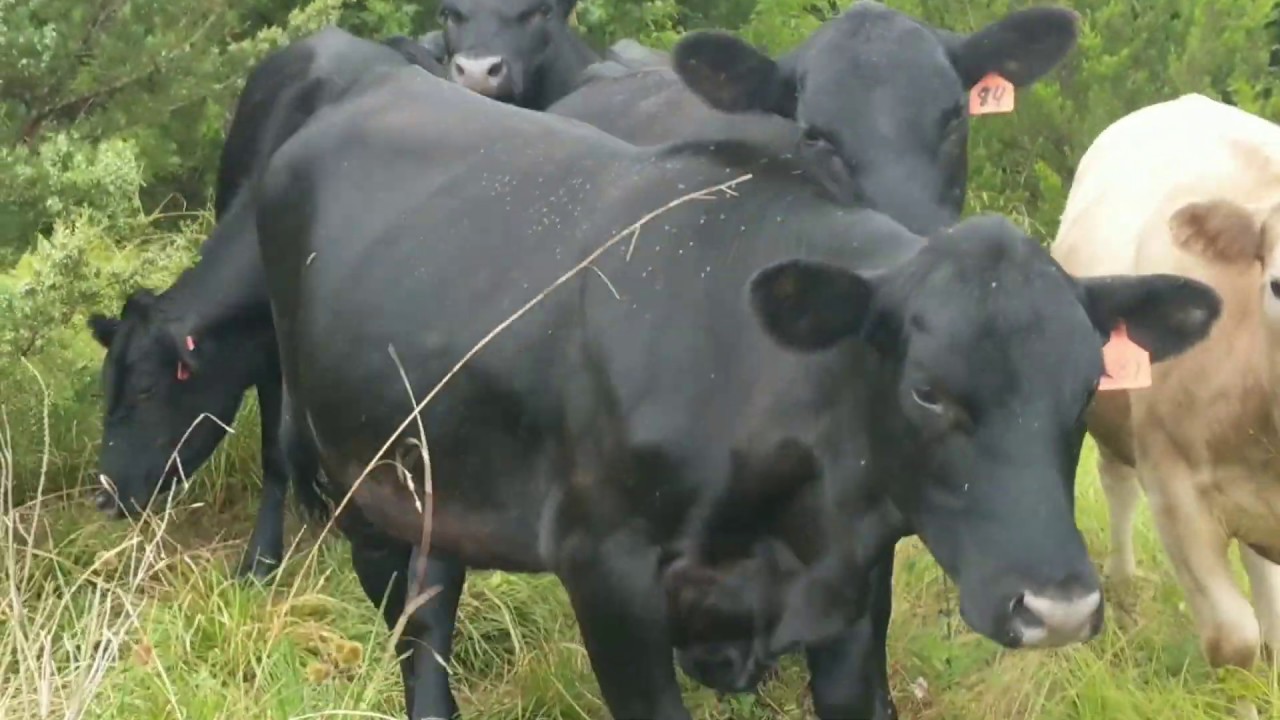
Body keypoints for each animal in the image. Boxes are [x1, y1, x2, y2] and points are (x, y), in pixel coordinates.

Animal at [86, 28, 442, 580]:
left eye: (147, 389)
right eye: (107, 388)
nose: (104, 497)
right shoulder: (270, 353)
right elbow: (278, 449)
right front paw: (271, 548)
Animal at [253, 67, 1221, 720]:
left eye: (1088, 385)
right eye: (926, 392)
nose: (1058, 609)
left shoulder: (852, 596)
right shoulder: (609, 574)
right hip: (360, 477)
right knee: (419, 624)